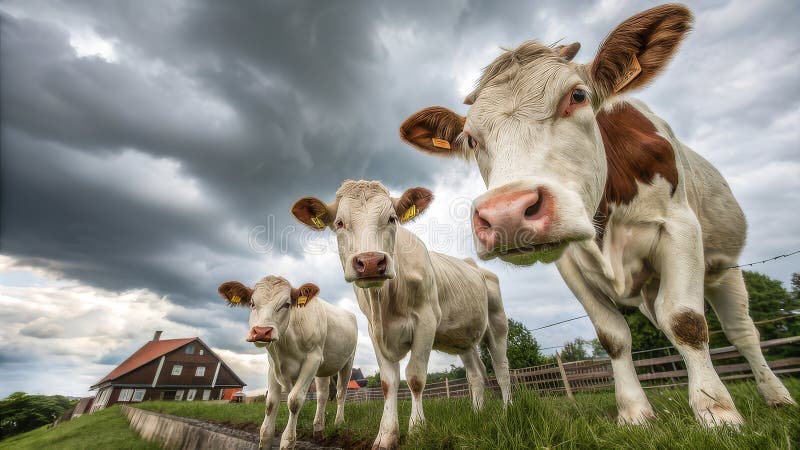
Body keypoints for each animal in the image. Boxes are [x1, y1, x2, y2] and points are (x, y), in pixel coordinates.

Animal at [218, 276, 358, 449]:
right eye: (252, 303)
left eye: (286, 304)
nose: (262, 332)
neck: (285, 343)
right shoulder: (273, 366)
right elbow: (270, 403)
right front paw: (265, 439)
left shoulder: (312, 360)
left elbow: (294, 400)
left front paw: (288, 440)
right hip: (322, 368)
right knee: (322, 395)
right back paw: (318, 429)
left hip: (348, 362)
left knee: (340, 393)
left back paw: (338, 423)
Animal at [291, 180, 511, 449]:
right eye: (340, 223)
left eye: (392, 219)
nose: (371, 261)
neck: (385, 301)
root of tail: (474, 265)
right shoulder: (374, 331)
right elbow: (388, 383)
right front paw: (386, 435)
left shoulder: (426, 322)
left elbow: (415, 378)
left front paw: (417, 430)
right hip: (463, 338)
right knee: (476, 374)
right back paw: (477, 413)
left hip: (497, 323)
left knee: (501, 369)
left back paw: (507, 412)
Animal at [397, 3, 795, 428]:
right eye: (471, 138)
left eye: (577, 95)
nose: (506, 214)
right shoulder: (570, 263)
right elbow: (614, 336)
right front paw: (635, 413)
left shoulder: (680, 228)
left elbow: (686, 320)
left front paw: (716, 411)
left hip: (724, 267)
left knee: (742, 332)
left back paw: (776, 395)